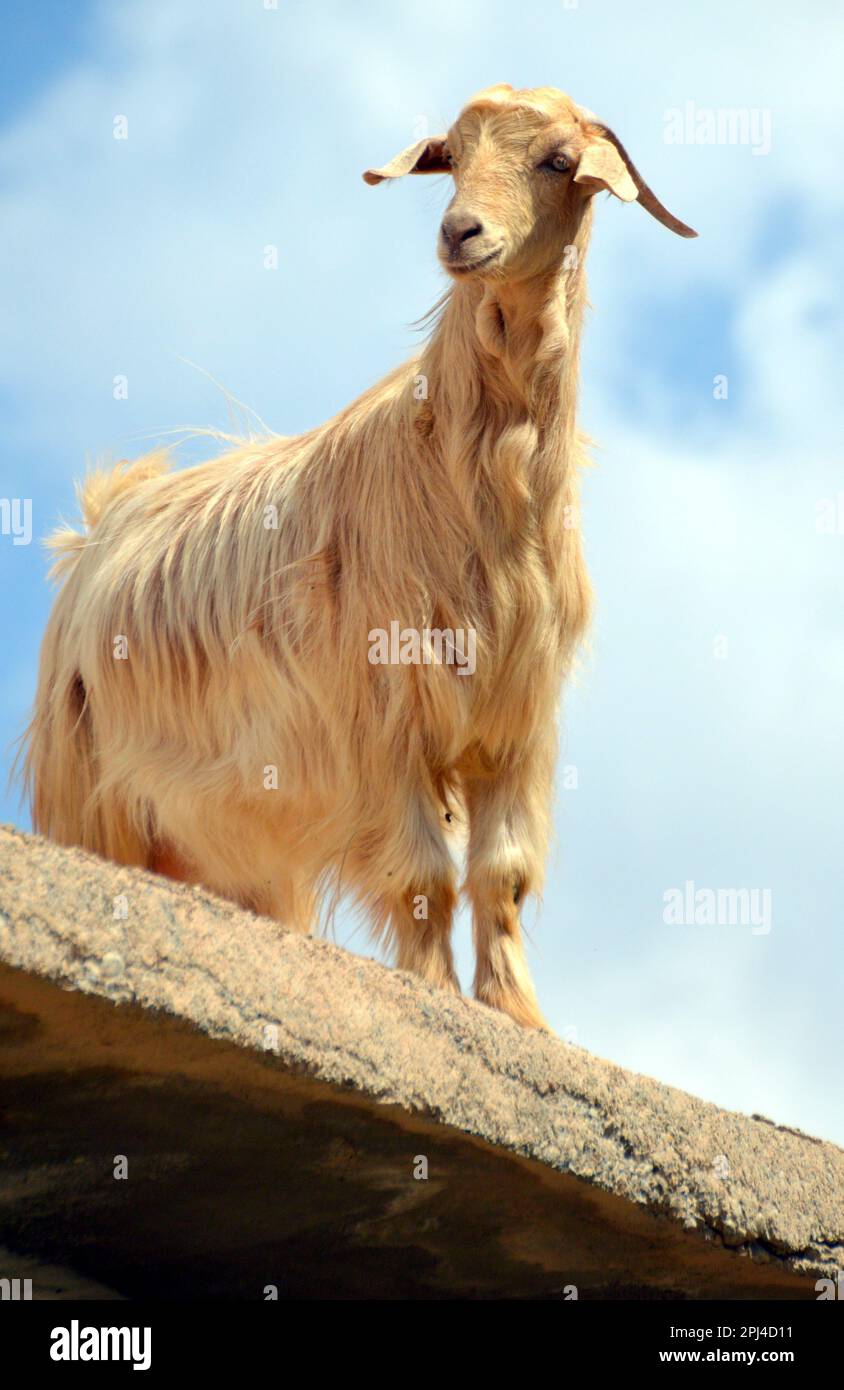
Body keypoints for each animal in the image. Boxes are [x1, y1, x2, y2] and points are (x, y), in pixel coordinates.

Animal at [22, 85, 696, 1029]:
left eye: (559, 161)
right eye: (452, 157)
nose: (461, 234)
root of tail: (102, 521)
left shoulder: (518, 722)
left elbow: (503, 874)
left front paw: (519, 1015)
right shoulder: (385, 717)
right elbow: (423, 875)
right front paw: (433, 995)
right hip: (88, 789)